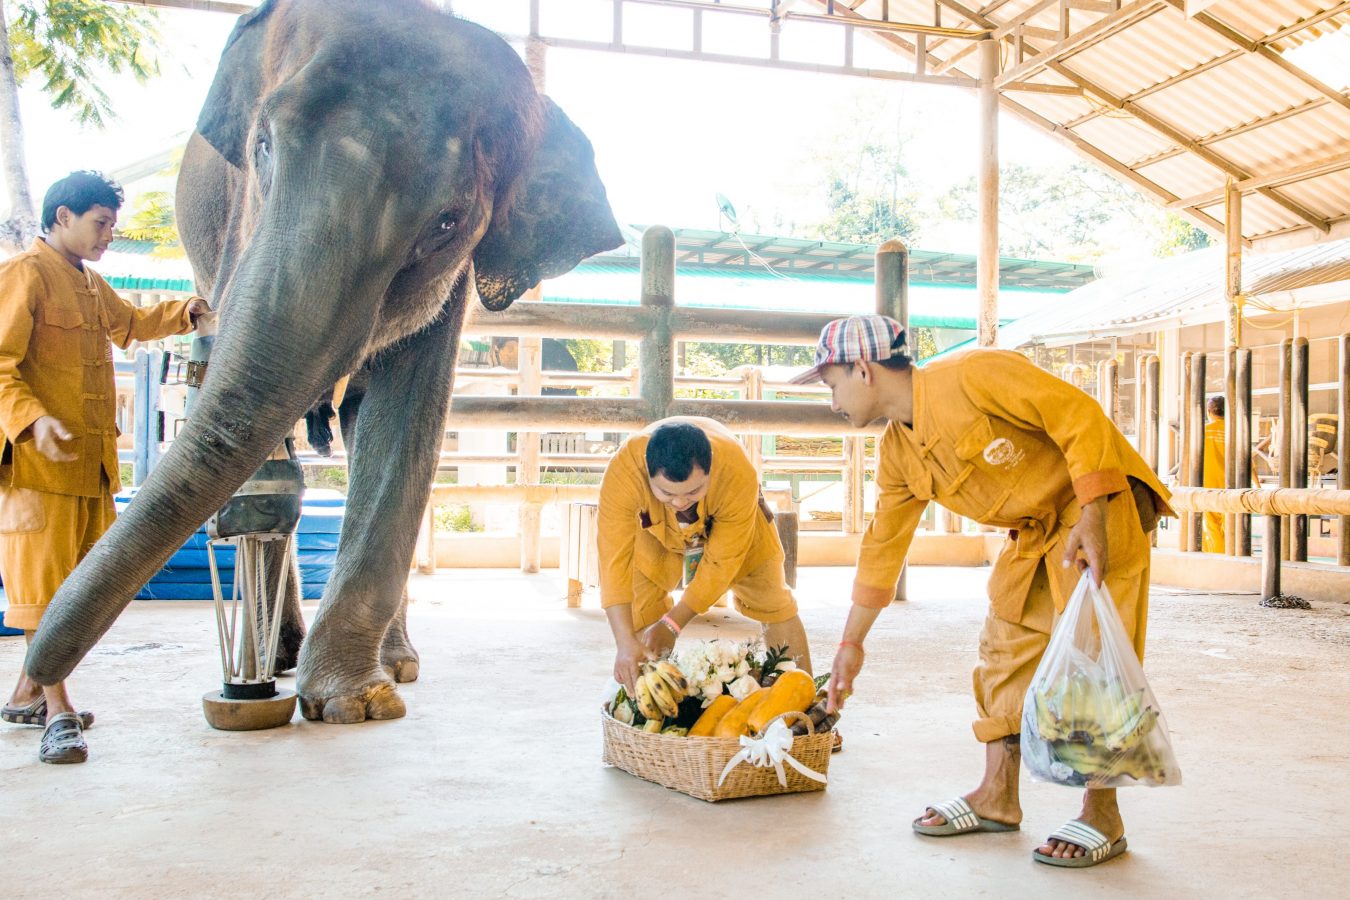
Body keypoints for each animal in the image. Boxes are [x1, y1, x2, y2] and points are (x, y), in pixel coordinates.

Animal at [25, 0, 623, 723]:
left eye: (447, 222)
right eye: (261, 146)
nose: (42, 693)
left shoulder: (452, 284)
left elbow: (405, 415)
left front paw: (354, 702)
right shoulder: (240, 222)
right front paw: (287, 682)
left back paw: (394, 663)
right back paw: (280, 655)